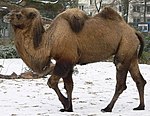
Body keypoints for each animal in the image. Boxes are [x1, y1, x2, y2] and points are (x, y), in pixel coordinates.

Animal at [4, 6, 146, 112]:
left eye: (19, 15)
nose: (6, 16)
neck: (50, 41)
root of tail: (134, 31)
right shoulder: (67, 62)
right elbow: (69, 86)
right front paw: (68, 108)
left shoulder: (65, 60)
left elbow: (52, 82)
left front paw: (66, 104)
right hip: (131, 54)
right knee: (139, 79)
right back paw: (140, 107)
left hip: (124, 49)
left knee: (121, 80)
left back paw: (107, 108)